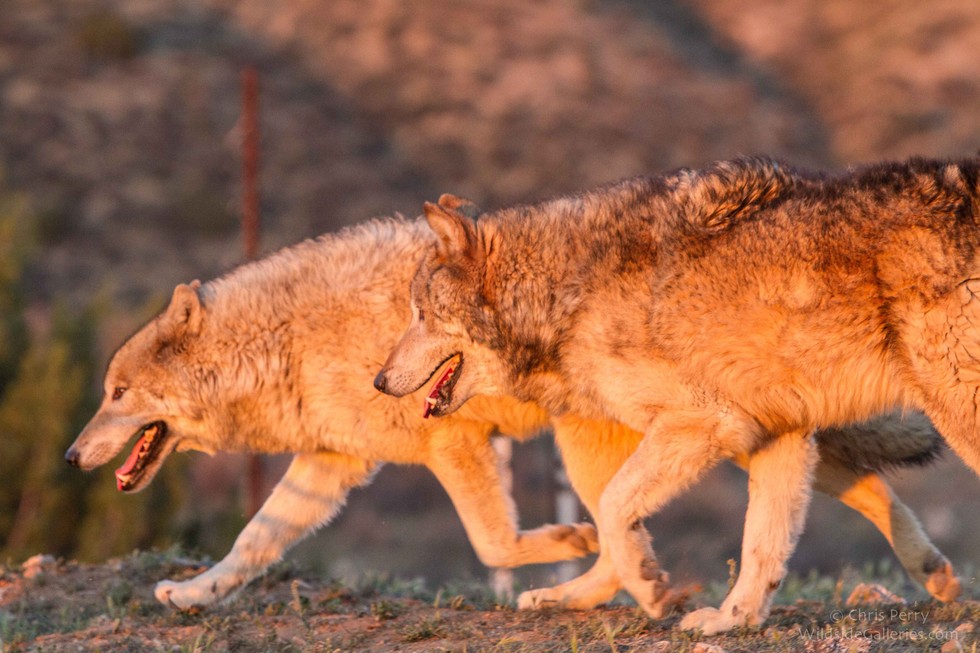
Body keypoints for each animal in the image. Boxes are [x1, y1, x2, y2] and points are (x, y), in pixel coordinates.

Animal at [63, 213, 959, 615]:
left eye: (115, 393)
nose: (71, 457)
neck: (286, 340)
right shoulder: (331, 463)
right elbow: (253, 540)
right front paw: (193, 592)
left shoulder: (453, 439)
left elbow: (492, 540)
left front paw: (561, 541)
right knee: (850, 479)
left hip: (654, 431)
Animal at [375, 156, 980, 633]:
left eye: (420, 314)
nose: (379, 381)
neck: (566, 293)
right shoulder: (777, 435)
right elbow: (760, 547)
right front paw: (730, 621)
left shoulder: (705, 422)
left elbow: (616, 507)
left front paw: (650, 591)